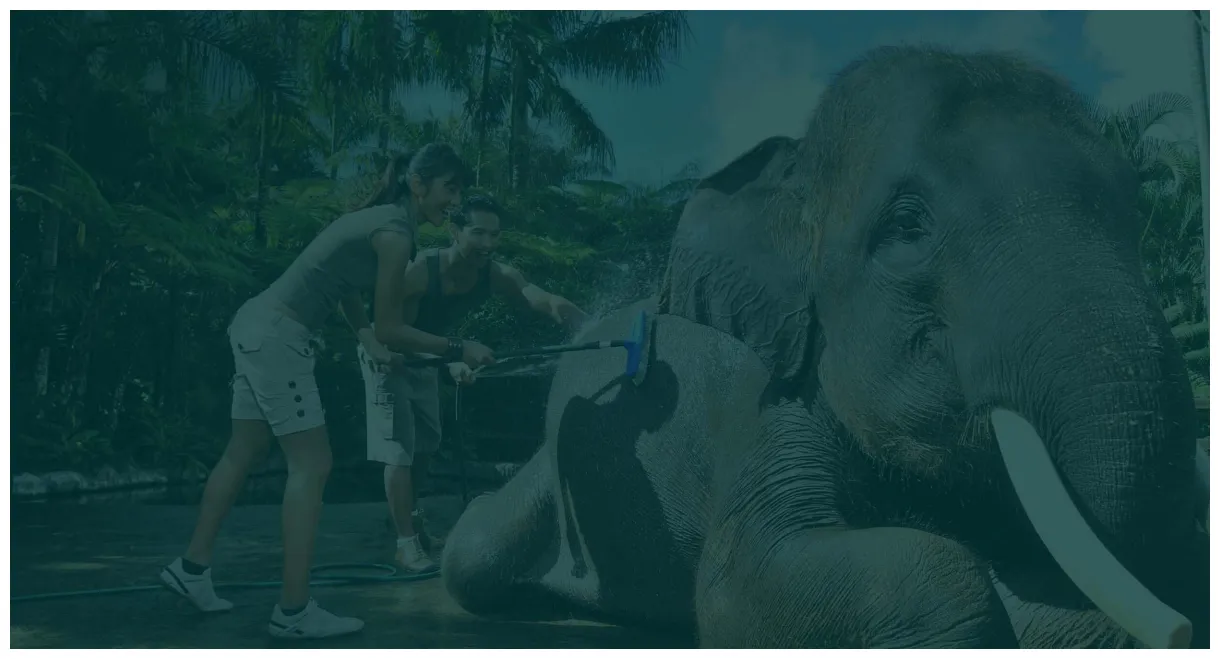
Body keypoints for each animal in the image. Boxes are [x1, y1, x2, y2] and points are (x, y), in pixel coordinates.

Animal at [440, 45, 1210, 648]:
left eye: (1133, 203)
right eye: (906, 224)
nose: (1178, 627)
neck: (794, 165)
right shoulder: (769, 399)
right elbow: (740, 583)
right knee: (475, 549)